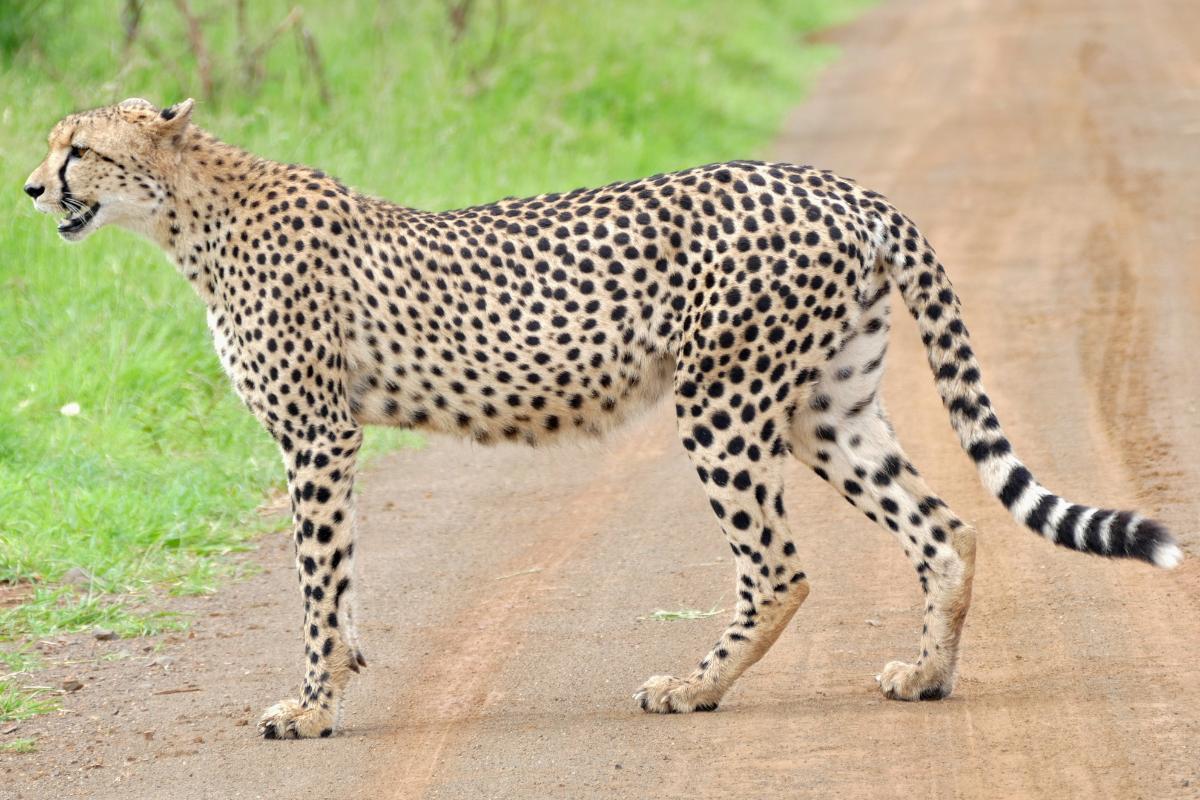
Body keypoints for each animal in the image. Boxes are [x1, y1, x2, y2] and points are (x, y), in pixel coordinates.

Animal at [24, 98, 1182, 739]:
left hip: (721, 401)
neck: (190, 212)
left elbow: (317, 582)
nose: (33, 188)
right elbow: (338, 577)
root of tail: (833, 182)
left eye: (78, 148)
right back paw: (926, 674)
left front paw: (310, 705)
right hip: (825, 404)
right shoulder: (328, 438)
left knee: (779, 567)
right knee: (944, 528)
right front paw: (339, 680)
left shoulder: (317, 432)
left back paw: (692, 687)